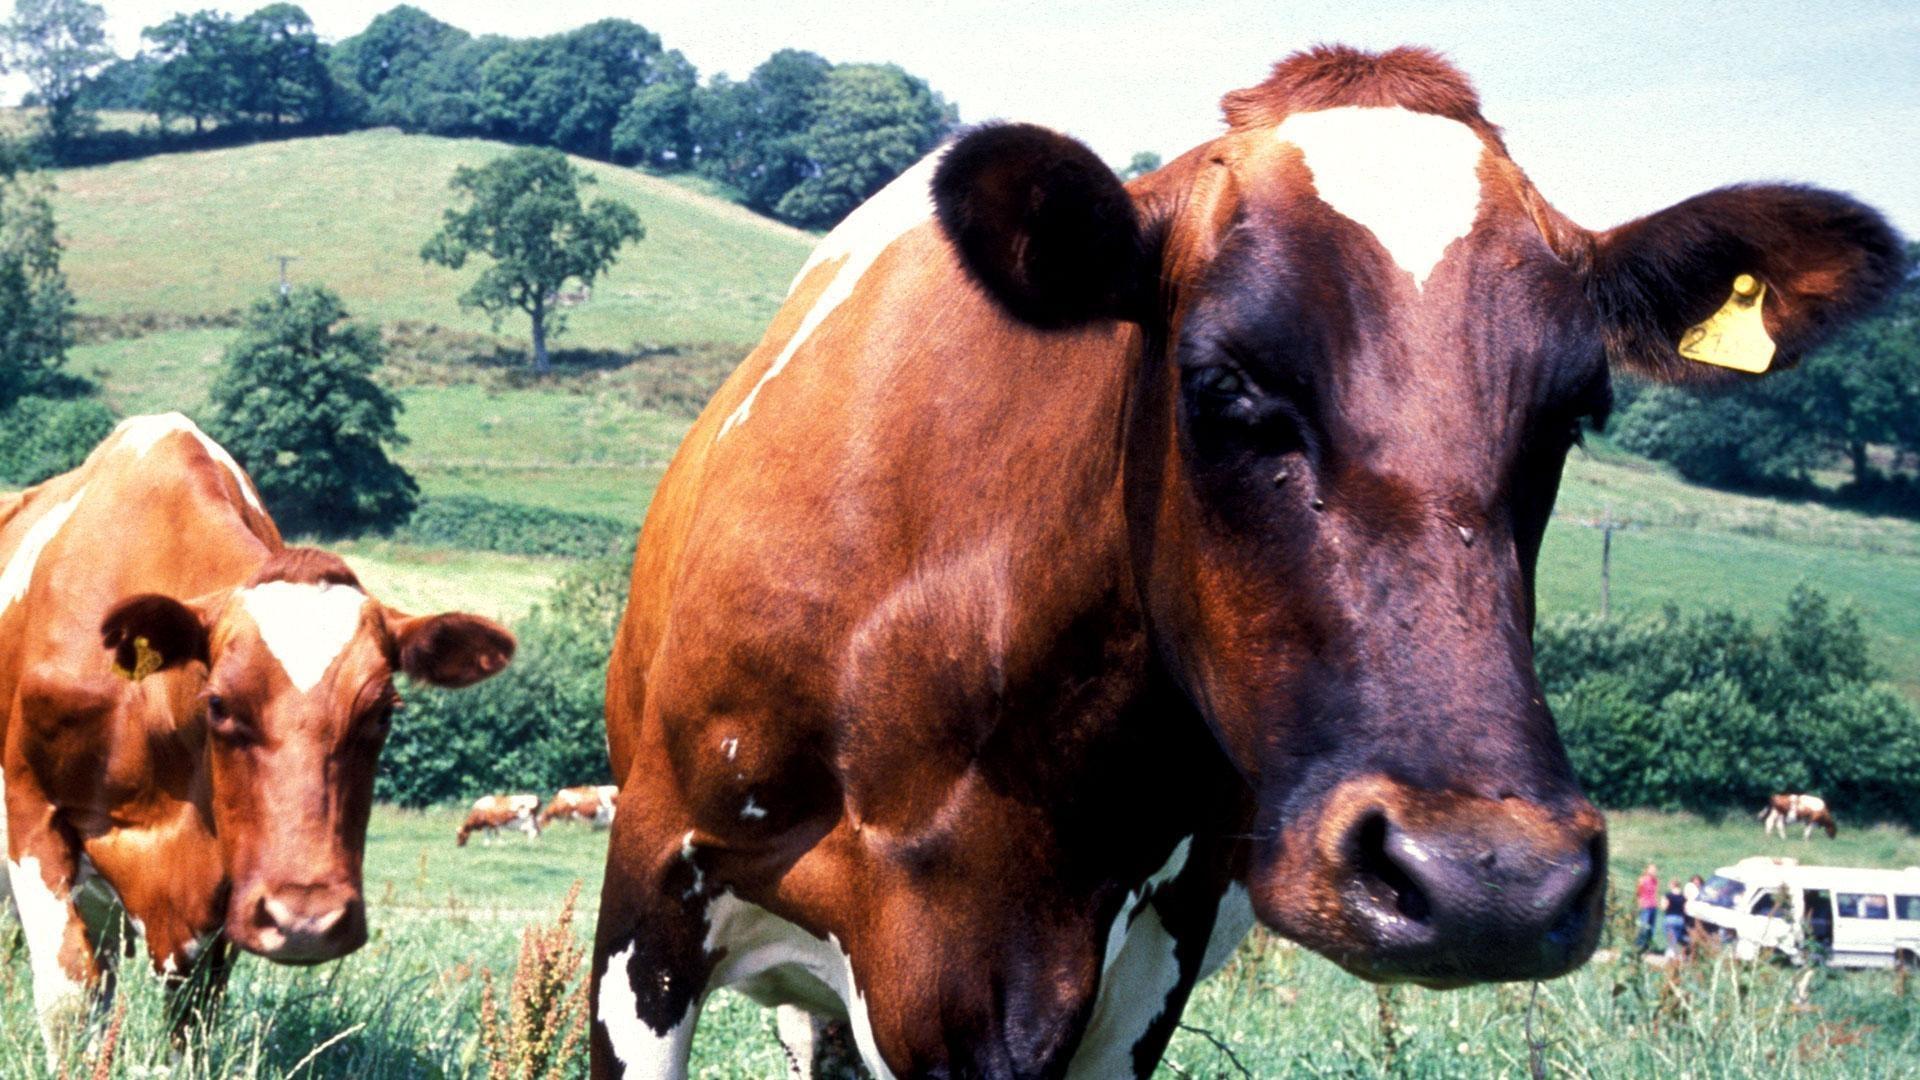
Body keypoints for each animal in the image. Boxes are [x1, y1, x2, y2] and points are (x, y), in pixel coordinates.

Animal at [0, 412, 515, 1064]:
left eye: (383, 712)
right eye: (218, 703)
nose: (305, 921)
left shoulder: (225, 884)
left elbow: (191, 1018)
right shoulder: (30, 814)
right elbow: (69, 1005)